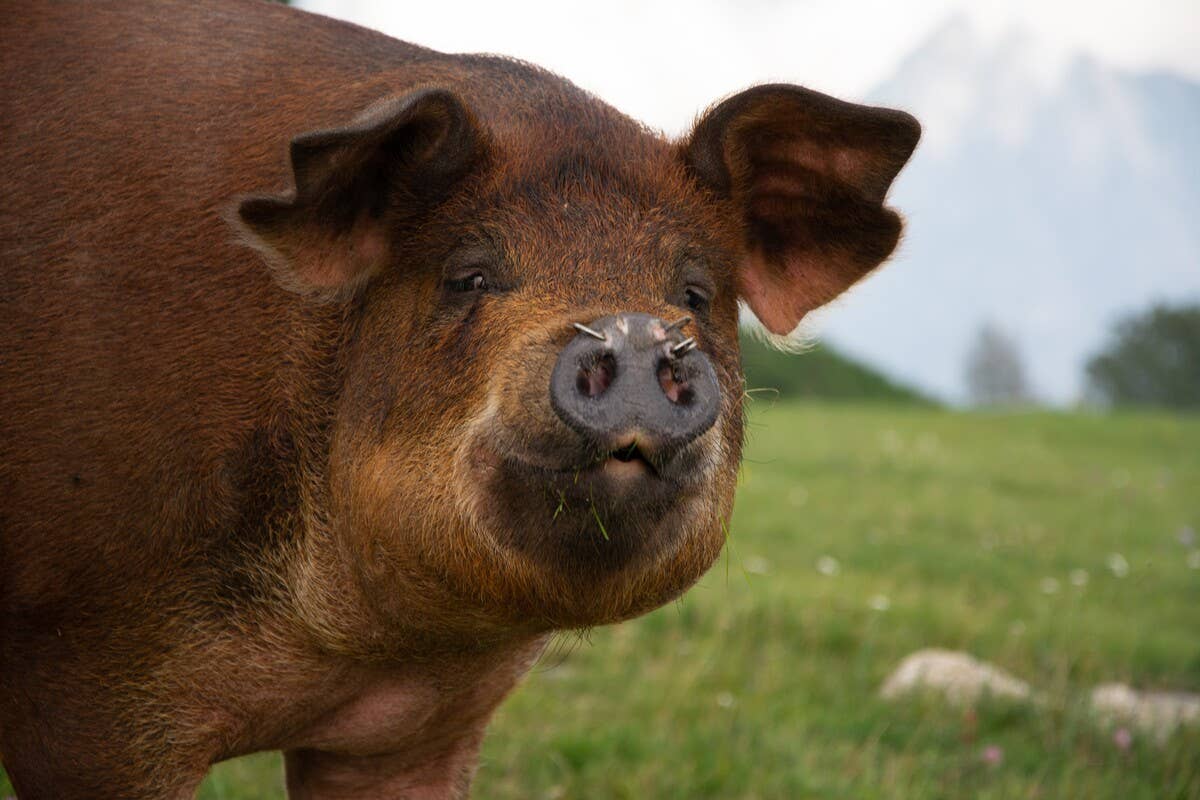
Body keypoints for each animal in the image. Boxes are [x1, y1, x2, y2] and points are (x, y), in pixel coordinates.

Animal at [0, 1, 919, 797]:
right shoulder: (87, 673)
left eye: (693, 293)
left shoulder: (417, 731)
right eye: (469, 275)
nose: (632, 329)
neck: (359, 649)